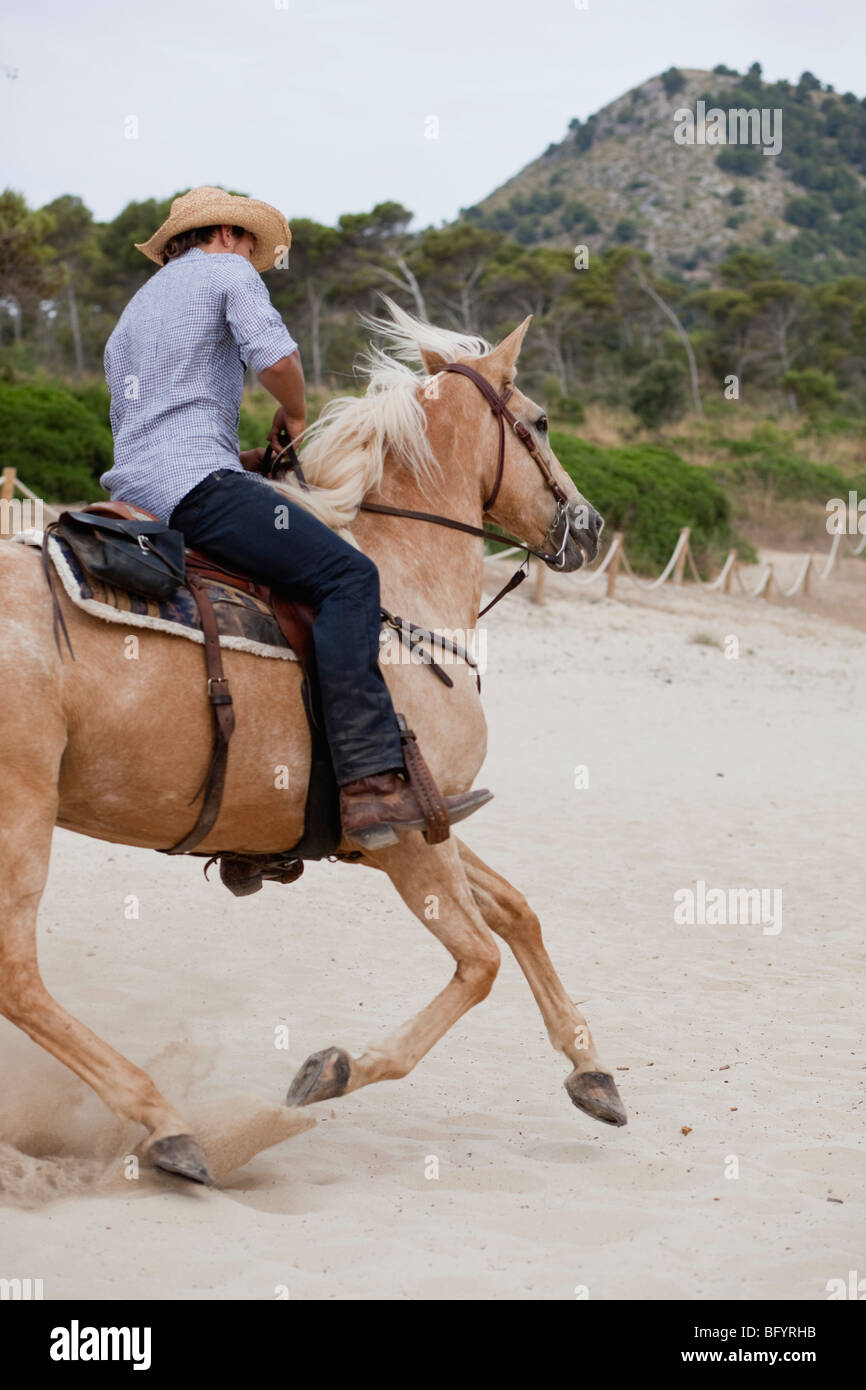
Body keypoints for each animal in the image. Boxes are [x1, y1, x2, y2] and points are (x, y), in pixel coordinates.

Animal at [0, 300, 626, 1186]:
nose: (588, 525)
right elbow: (479, 962)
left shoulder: (423, 818)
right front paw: (333, 1070)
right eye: (537, 421)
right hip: (20, 813)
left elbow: (518, 912)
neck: (401, 600)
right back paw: (168, 1126)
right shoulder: (408, 839)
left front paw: (593, 1071)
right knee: (16, 977)